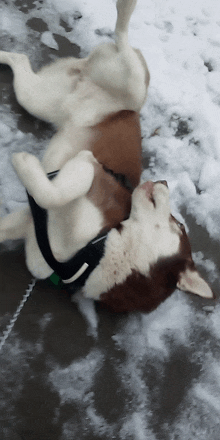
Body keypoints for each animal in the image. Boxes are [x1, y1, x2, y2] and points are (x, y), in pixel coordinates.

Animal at [0, 0, 213, 312]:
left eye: (178, 224)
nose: (163, 182)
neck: (98, 252)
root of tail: (85, 73)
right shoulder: (89, 164)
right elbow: (54, 194)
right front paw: (25, 163)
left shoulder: (29, 224)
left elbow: (44, 198)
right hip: (131, 83)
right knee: (122, 37)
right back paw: (125, 9)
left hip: (36, 97)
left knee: (20, 59)